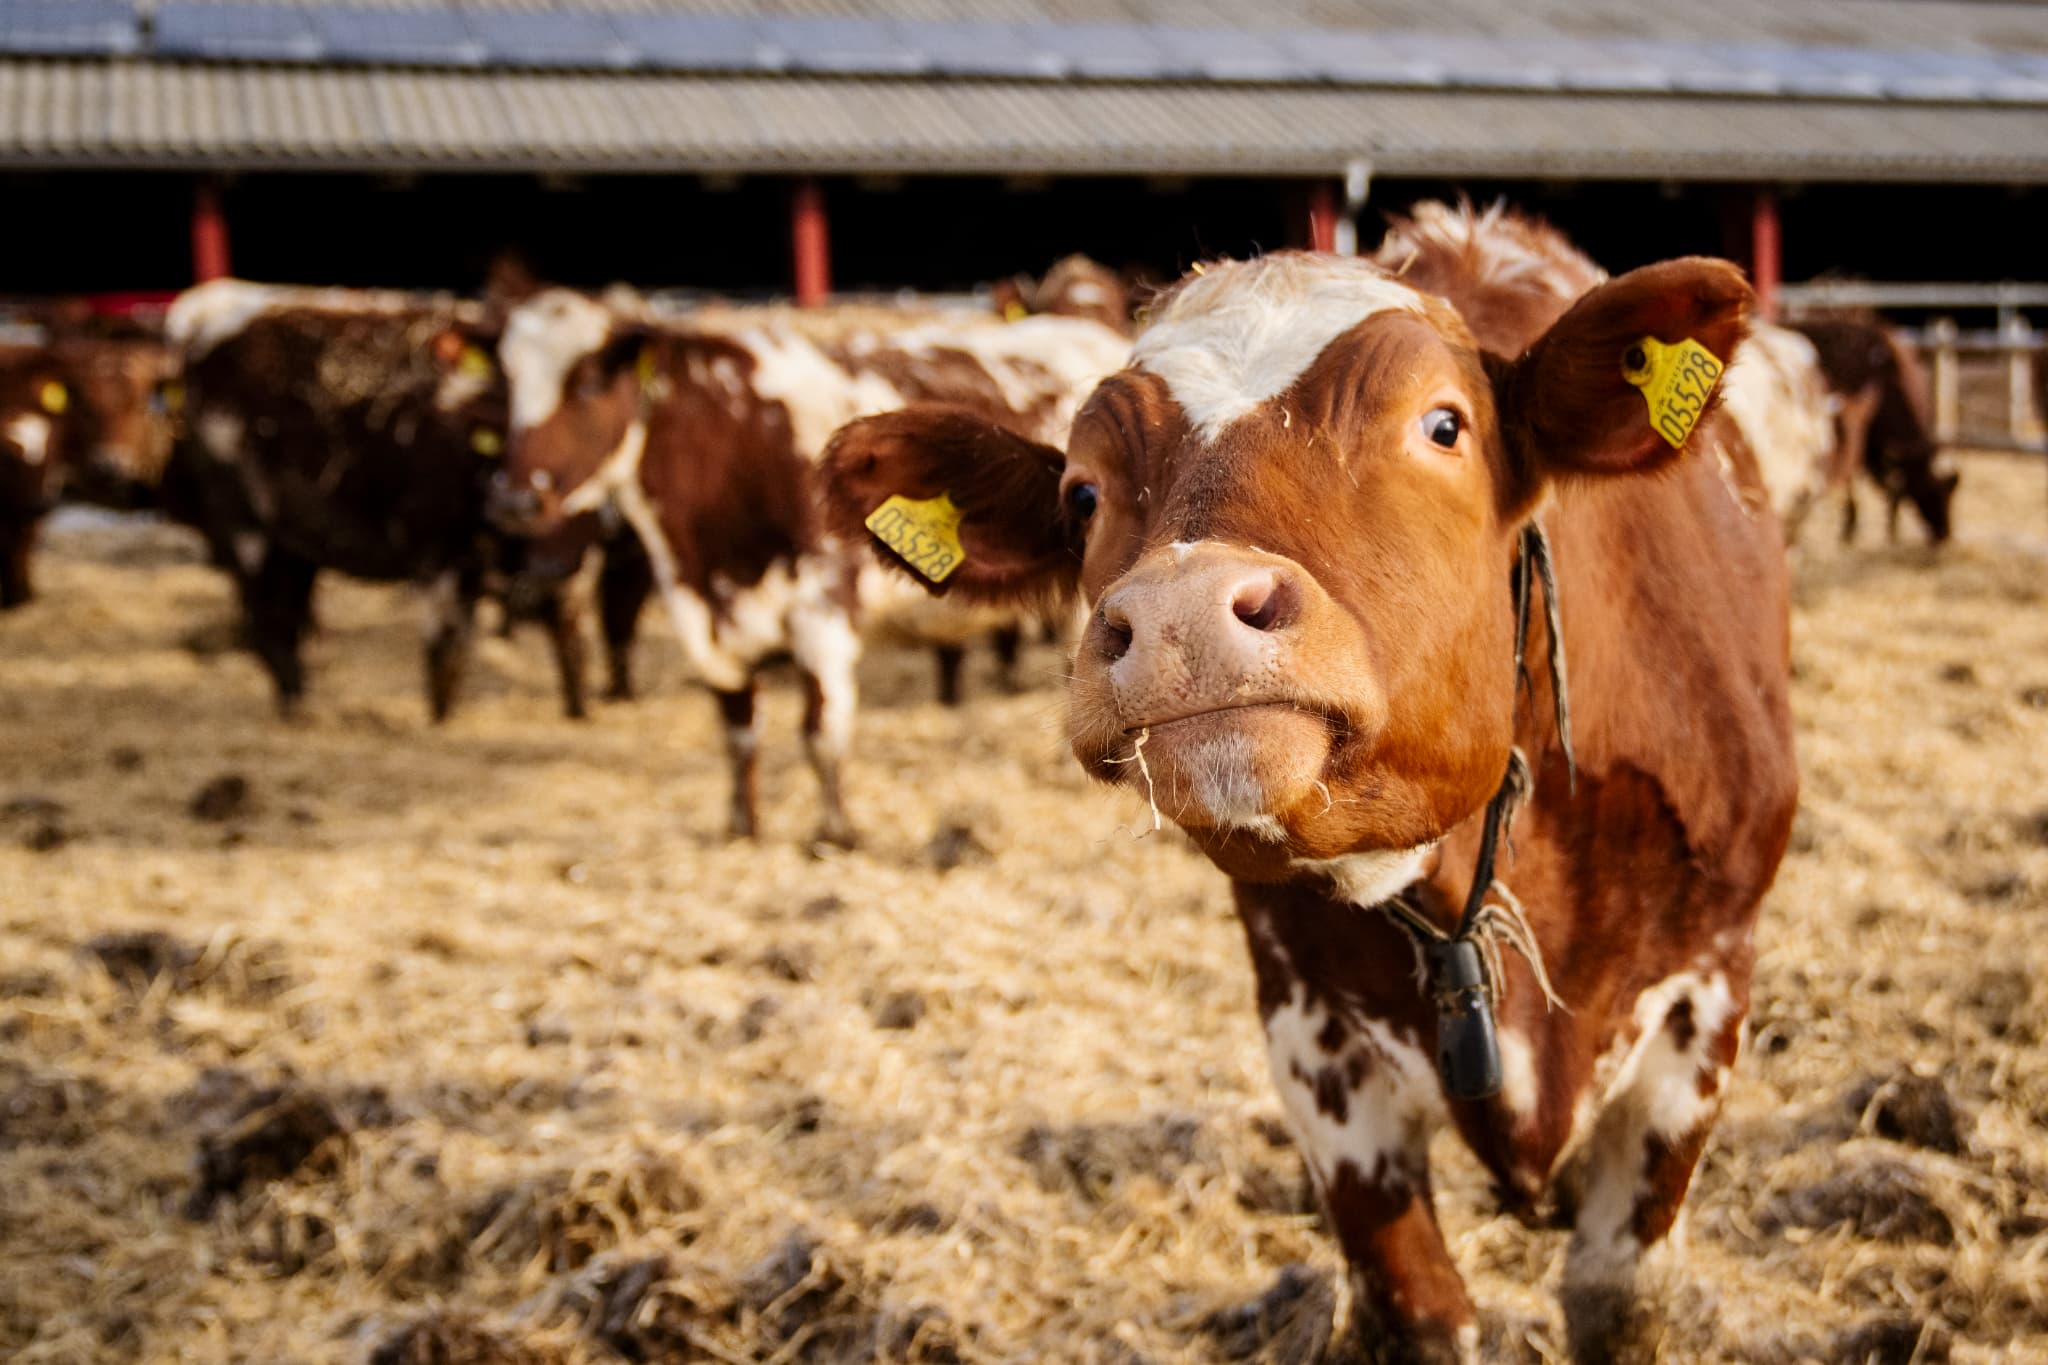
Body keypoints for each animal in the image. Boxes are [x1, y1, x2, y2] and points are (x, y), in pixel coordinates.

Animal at [161, 280, 608, 722]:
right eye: (514, 384)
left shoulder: (568, 569)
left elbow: (573, 644)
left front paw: (579, 711)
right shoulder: (438, 549)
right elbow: (447, 651)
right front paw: (441, 721)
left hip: (292, 542)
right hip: (247, 527)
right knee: (269, 620)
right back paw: (299, 708)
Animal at [488, 289, 1130, 846]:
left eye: (589, 383)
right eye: (504, 385)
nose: (516, 500)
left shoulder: (822, 611)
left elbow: (822, 733)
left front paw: (835, 832)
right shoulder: (706, 622)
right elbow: (739, 732)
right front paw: (743, 826)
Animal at [824, 206, 1797, 1361]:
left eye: (1441, 426)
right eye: (1081, 494)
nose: (1181, 614)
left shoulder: (1706, 992)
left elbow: (1618, 1295)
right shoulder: (1310, 1034)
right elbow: (1418, 1306)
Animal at [1791, 315, 1958, 543]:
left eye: (1950, 495)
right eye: (1932, 490)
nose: (1944, 532)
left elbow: (1890, 486)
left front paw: (1892, 527)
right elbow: (1857, 481)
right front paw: (1851, 524)